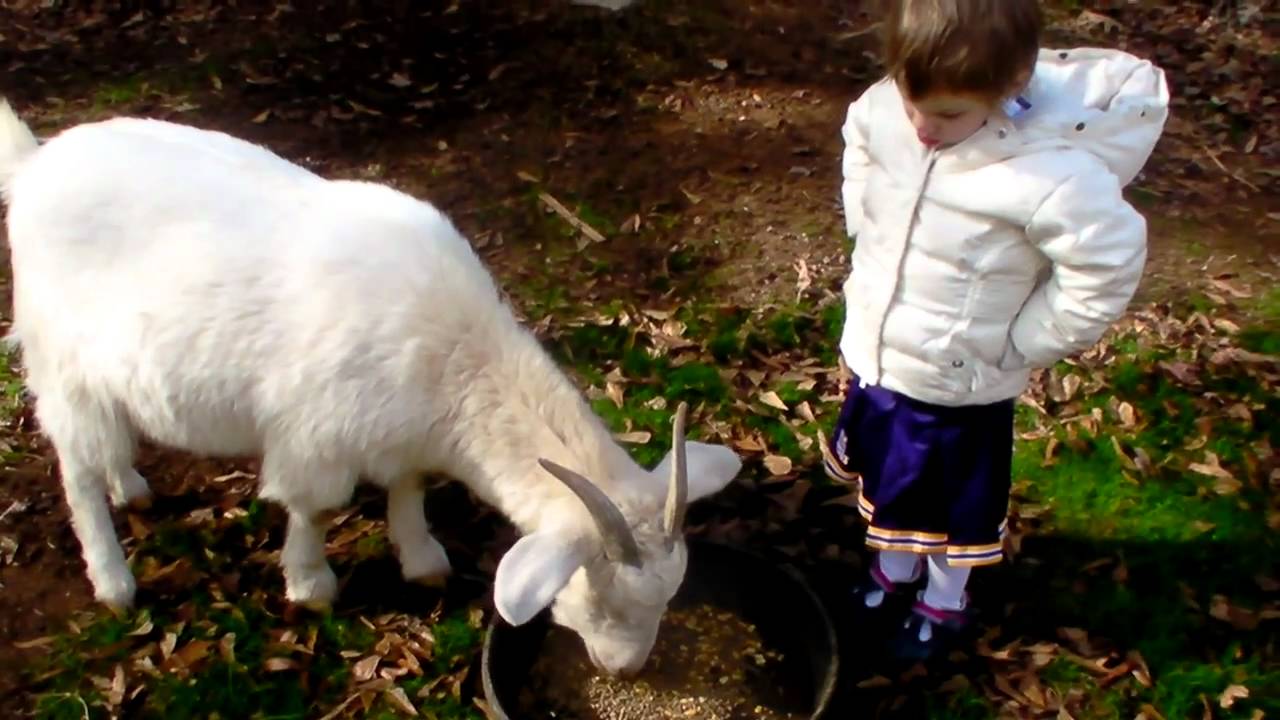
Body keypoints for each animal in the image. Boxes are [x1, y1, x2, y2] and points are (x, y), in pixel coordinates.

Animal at [0, 100, 741, 676]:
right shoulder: (316, 436)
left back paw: (130, 485)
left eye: (670, 595)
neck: (453, 351)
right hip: (61, 358)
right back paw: (114, 581)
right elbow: (316, 508)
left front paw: (422, 558)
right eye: (604, 596)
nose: (626, 669)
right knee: (76, 469)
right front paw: (311, 585)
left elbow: (407, 487)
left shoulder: (403, 432)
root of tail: (35, 166)